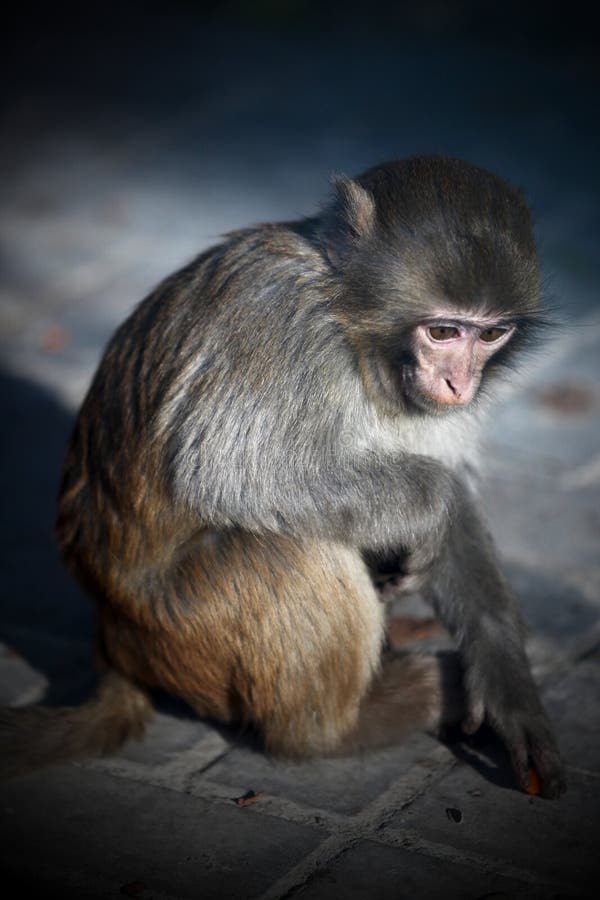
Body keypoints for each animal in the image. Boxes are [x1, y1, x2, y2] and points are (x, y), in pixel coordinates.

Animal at [0, 155, 565, 798]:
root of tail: (113, 641)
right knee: (289, 548)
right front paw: (434, 503)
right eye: (443, 332)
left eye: (491, 334)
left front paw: (507, 686)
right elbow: (231, 472)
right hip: (182, 630)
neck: (353, 326)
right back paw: (349, 725)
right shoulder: (280, 321)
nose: (458, 384)